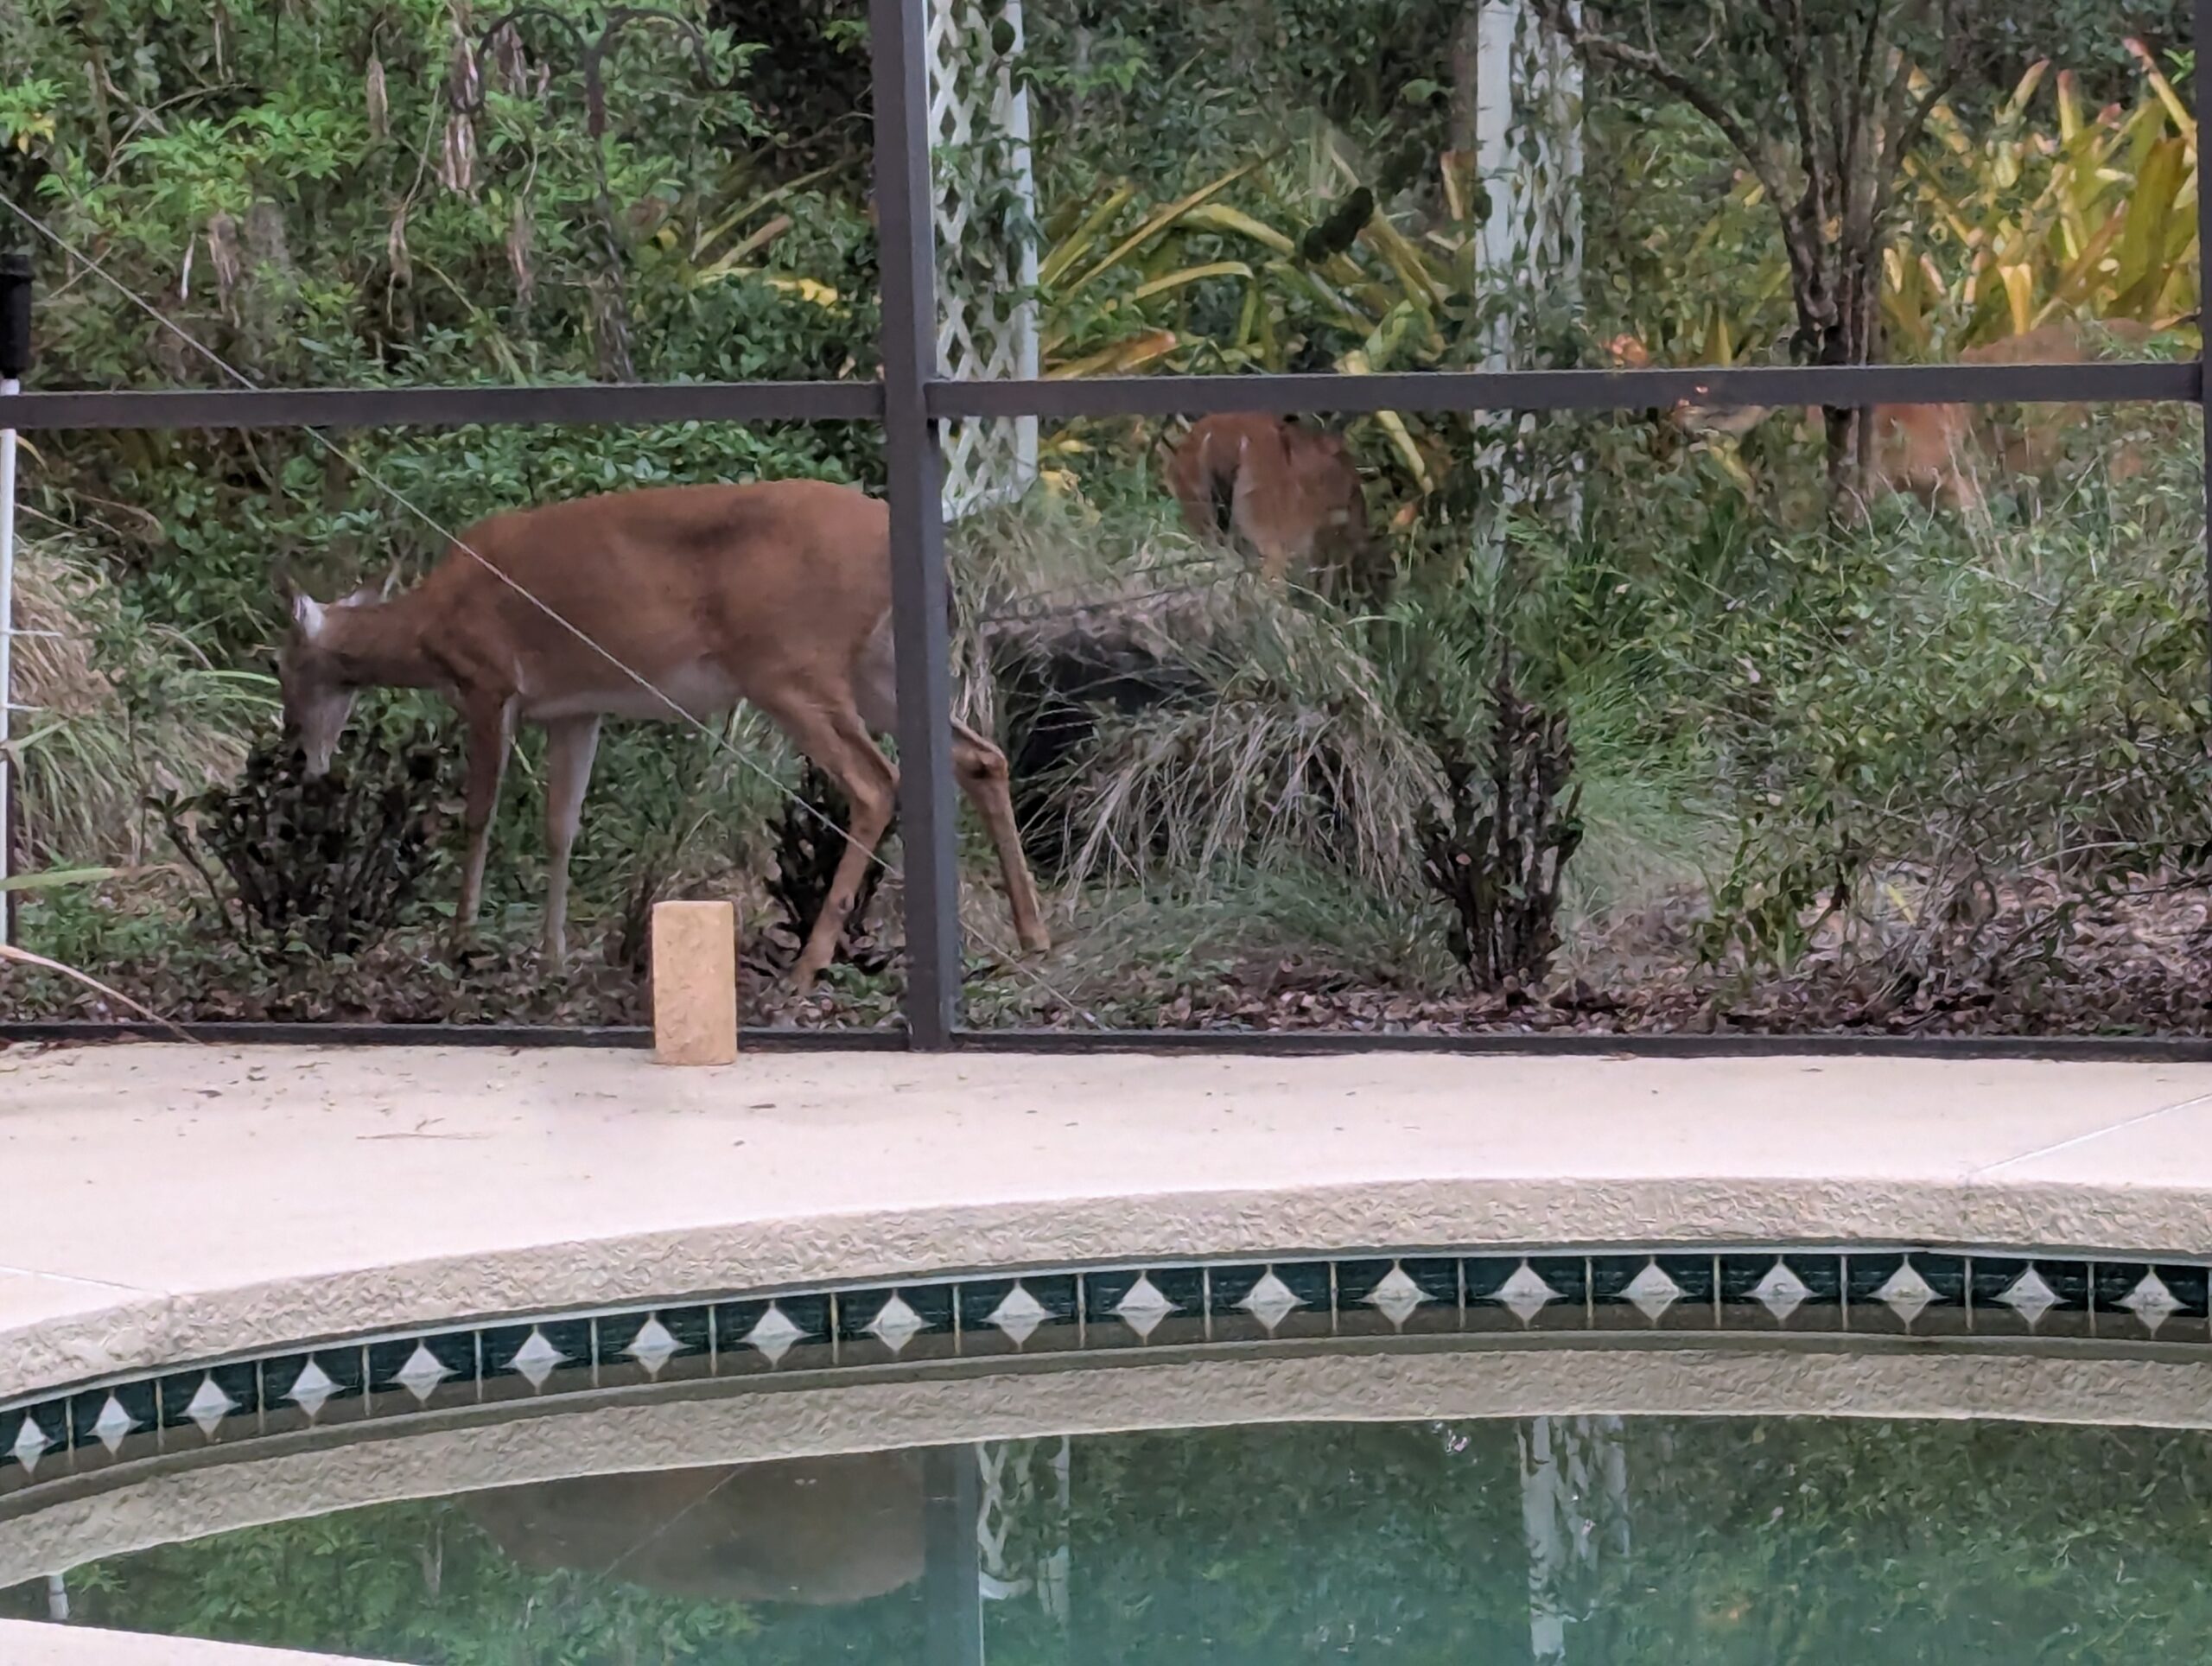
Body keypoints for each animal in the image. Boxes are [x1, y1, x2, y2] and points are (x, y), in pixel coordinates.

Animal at [274, 479, 1052, 993]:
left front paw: (461, 944)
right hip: (874, 668)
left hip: (791, 664)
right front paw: (553, 959)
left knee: (874, 783)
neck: (430, 627)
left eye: (286, 669)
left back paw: (807, 965)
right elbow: (561, 826)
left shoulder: (488, 683)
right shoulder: (573, 709)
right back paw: (1032, 938)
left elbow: (478, 817)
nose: (301, 756)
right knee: (979, 756)